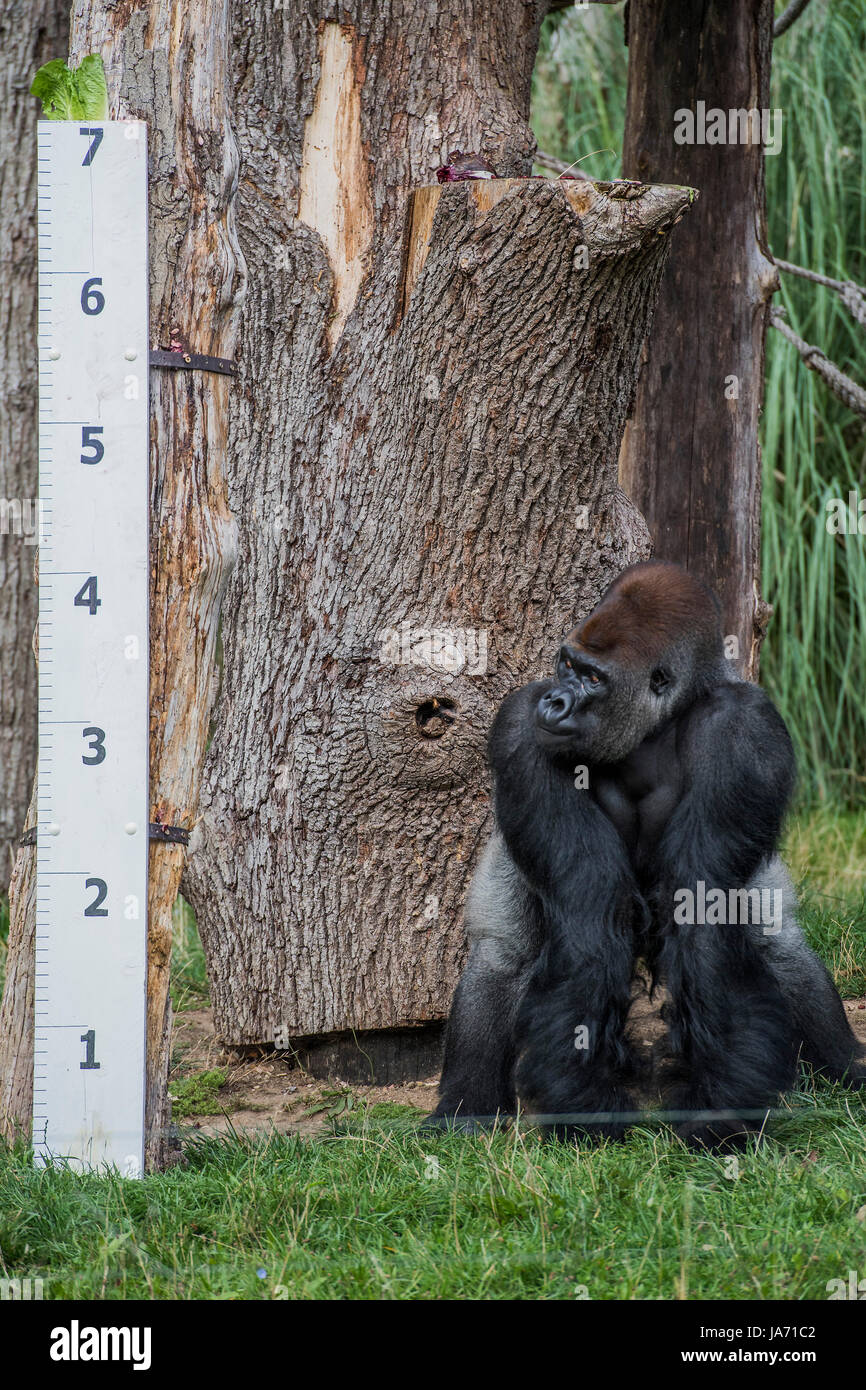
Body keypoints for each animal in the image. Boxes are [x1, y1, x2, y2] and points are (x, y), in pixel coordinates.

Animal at [427, 560, 866, 1147]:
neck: (654, 726)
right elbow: (588, 918)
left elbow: (706, 911)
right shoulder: (521, 722)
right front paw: (582, 1099)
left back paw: (845, 1069)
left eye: (593, 679)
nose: (554, 701)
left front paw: (719, 1108)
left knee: (780, 946)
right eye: (567, 665)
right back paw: (463, 1109)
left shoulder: (746, 726)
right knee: (503, 956)